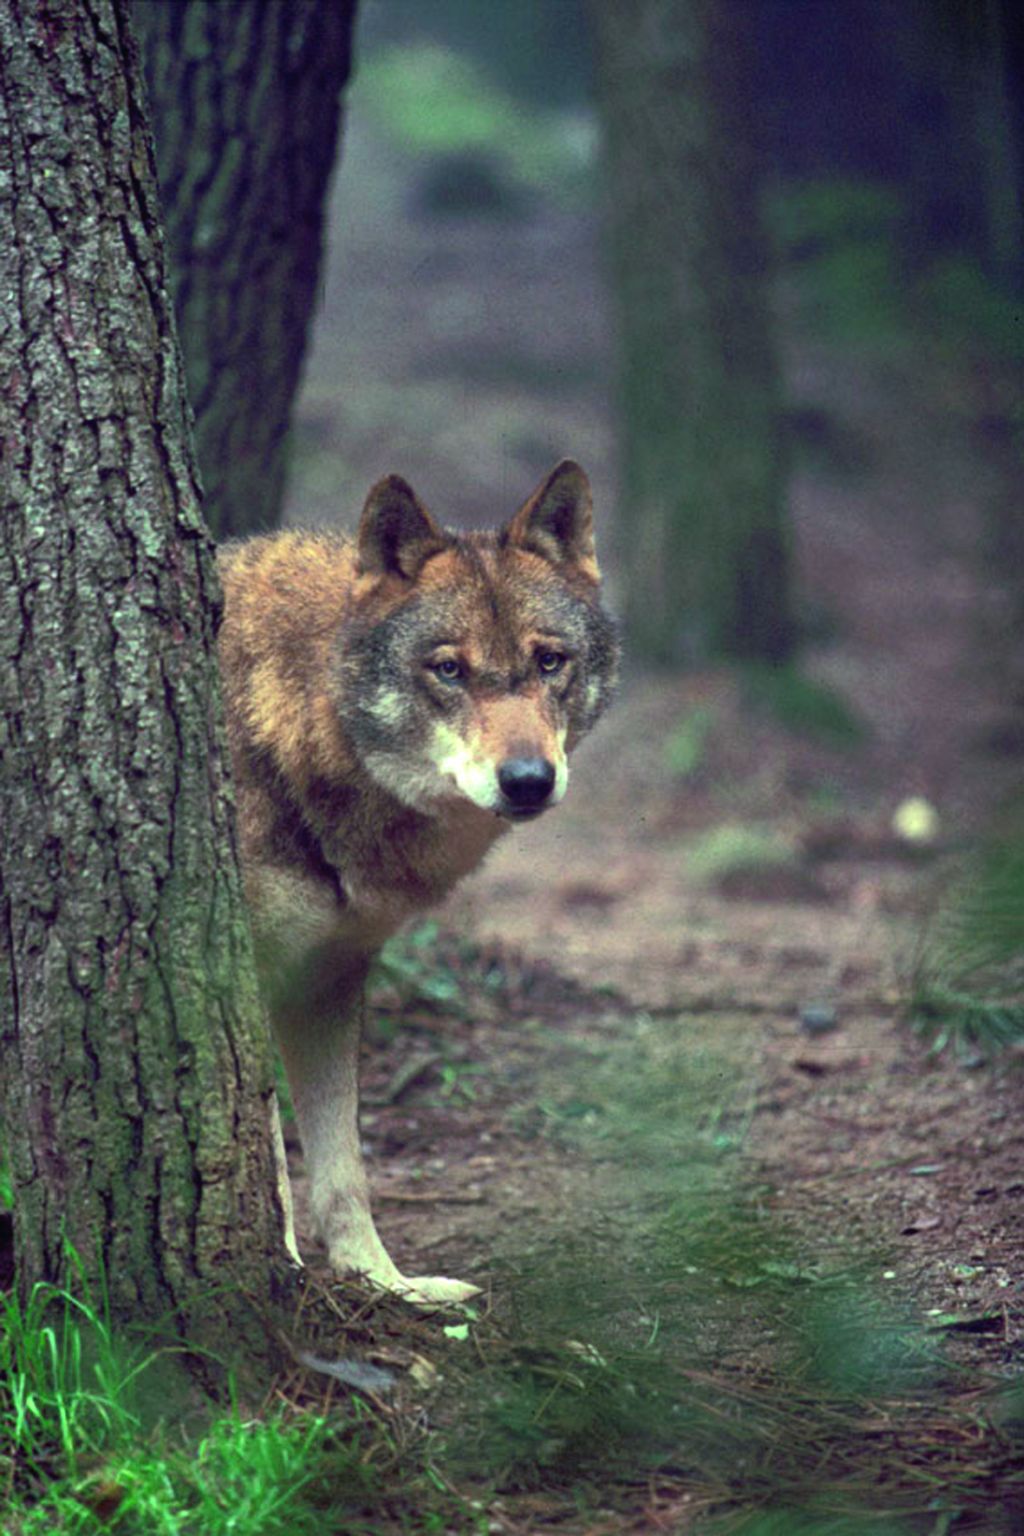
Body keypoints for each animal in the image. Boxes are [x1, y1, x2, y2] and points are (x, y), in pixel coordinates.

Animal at [218, 460, 618, 1305]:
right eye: (448, 669)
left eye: (549, 661)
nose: (528, 780)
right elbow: (267, 1161)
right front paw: (289, 1273)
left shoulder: (327, 978)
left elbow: (343, 1170)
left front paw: (382, 1285)